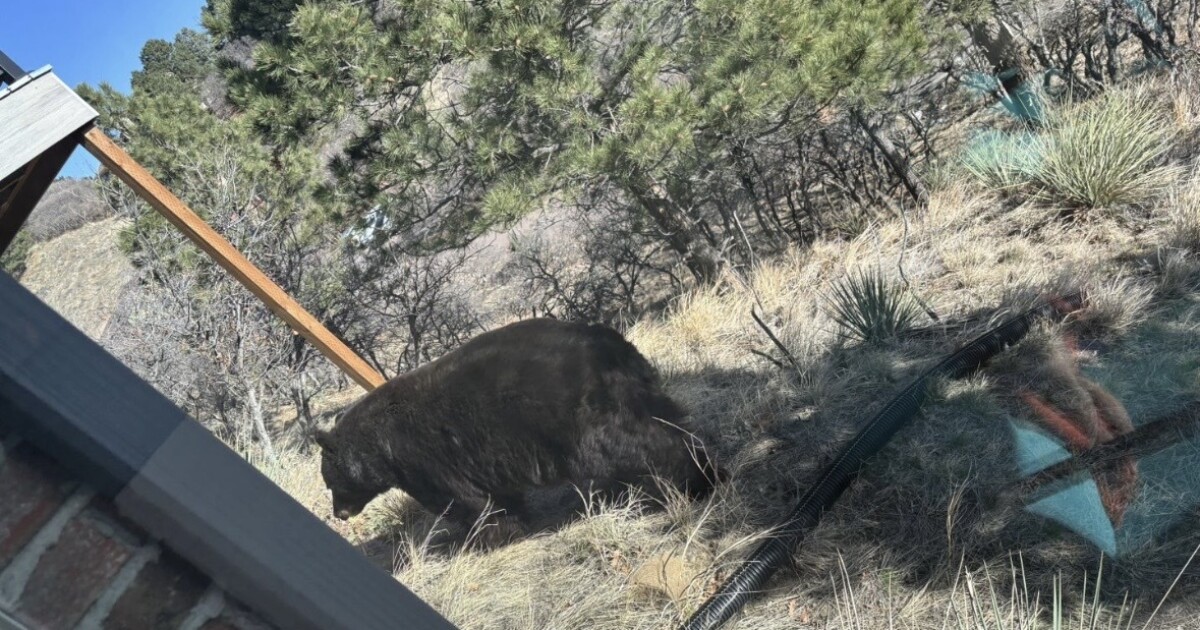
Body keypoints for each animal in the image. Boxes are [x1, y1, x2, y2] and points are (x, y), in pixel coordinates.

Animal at [315, 318, 718, 542]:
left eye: (331, 482)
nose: (339, 514)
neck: (377, 447)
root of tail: (608, 343)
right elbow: (497, 495)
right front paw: (512, 523)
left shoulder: (423, 461)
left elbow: (464, 501)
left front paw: (488, 536)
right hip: (635, 388)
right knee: (665, 416)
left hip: (581, 415)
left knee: (634, 443)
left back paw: (694, 481)